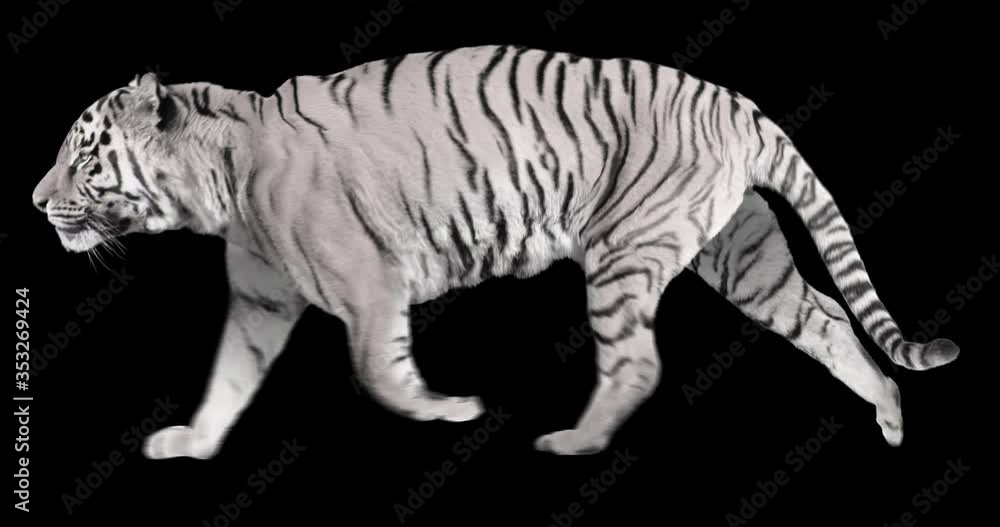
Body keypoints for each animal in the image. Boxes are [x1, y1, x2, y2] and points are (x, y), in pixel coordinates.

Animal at [31, 45, 959, 458]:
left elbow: (378, 370)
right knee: (828, 317)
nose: (36, 202)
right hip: (745, 255)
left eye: (82, 154)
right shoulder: (260, 300)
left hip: (623, 252)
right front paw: (190, 441)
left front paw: (449, 409)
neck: (216, 183)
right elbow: (228, 377)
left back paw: (573, 442)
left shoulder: (371, 282)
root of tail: (733, 100)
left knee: (639, 363)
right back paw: (889, 412)